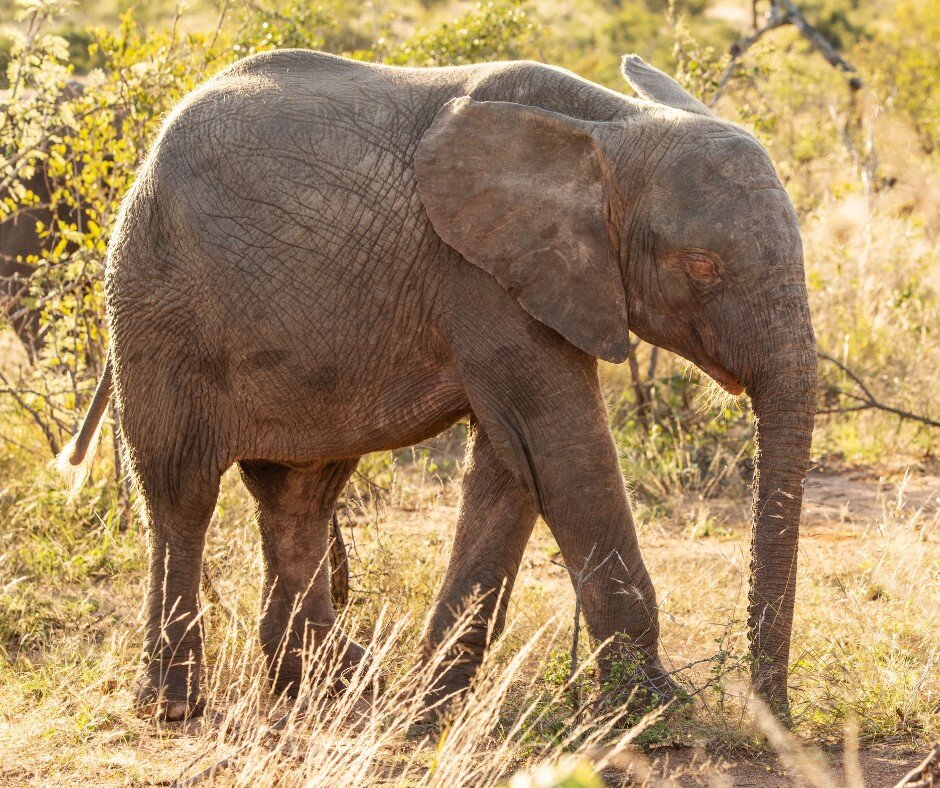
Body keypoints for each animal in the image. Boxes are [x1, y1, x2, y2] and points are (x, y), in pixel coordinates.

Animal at [60, 50, 817, 724]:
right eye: (701, 266)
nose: (772, 716)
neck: (613, 127)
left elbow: (515, 467)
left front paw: (428, 705)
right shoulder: (482, 276)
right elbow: (563, 451)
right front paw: (659, 716)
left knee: (299, 494)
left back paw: (335, 690)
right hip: (156, 305)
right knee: (182, 494)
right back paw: (178, 708)